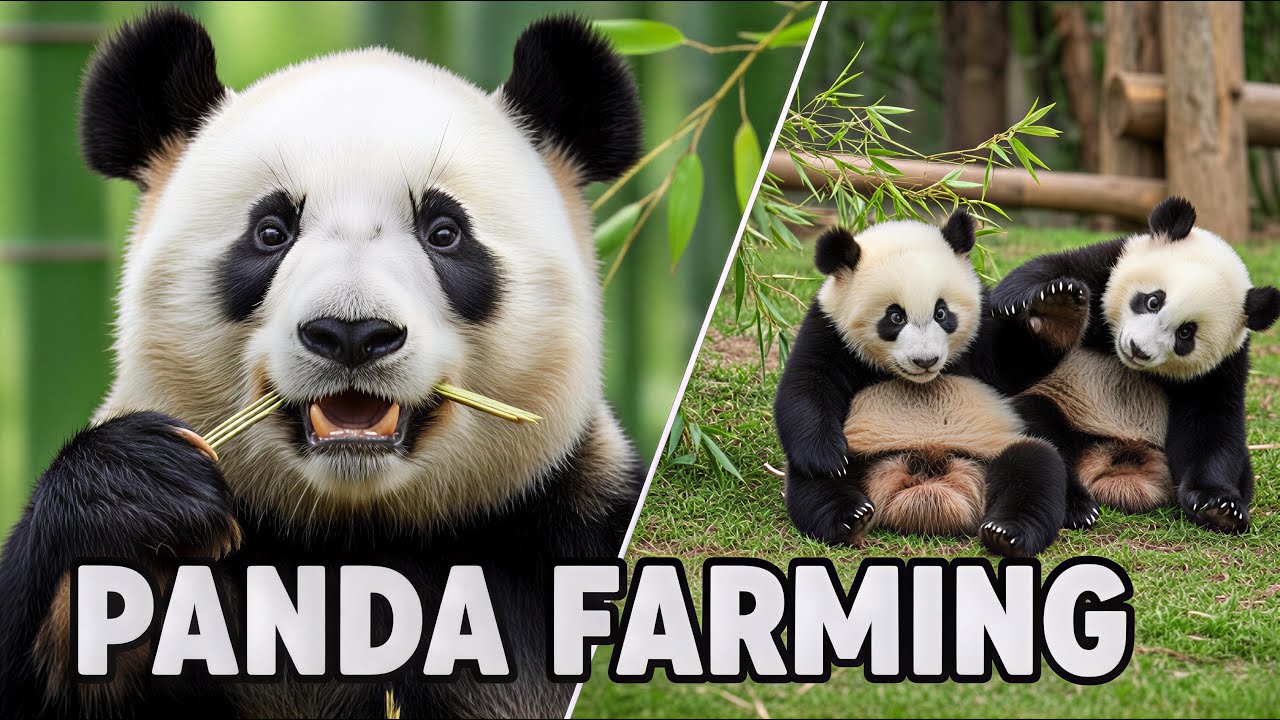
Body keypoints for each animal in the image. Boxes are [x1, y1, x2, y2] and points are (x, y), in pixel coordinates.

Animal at [0, 9, 643, 719]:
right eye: (270, 232)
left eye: (444, 232)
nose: (352, 333)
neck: (363, 542)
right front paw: (135, 492)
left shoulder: (571, 524)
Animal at [773, 210, 1090, 557]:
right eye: (895, 317)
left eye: (942, 312)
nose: (925, 360)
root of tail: (930, 479)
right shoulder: (829, 329)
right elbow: (808, 382)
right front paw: (827, 458)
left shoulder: (980, 335)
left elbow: (1015, 361)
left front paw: (1058, 305)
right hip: (860, 452)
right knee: (813, 487)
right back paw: (848, 517)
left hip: (994, 449)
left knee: (1035, 468)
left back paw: (1008, 532)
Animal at [992, 196, 1280, 534]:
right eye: (1153, 300)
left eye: (1186, 333)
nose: (1137, 349)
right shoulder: (1104, 268)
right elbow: (1052, 268)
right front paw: (1049, 306)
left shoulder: (1224, 365)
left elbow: (1211, 424)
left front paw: (1216, 505)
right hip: (1065, 405)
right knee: (1037, 427)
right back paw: (1075, 505)